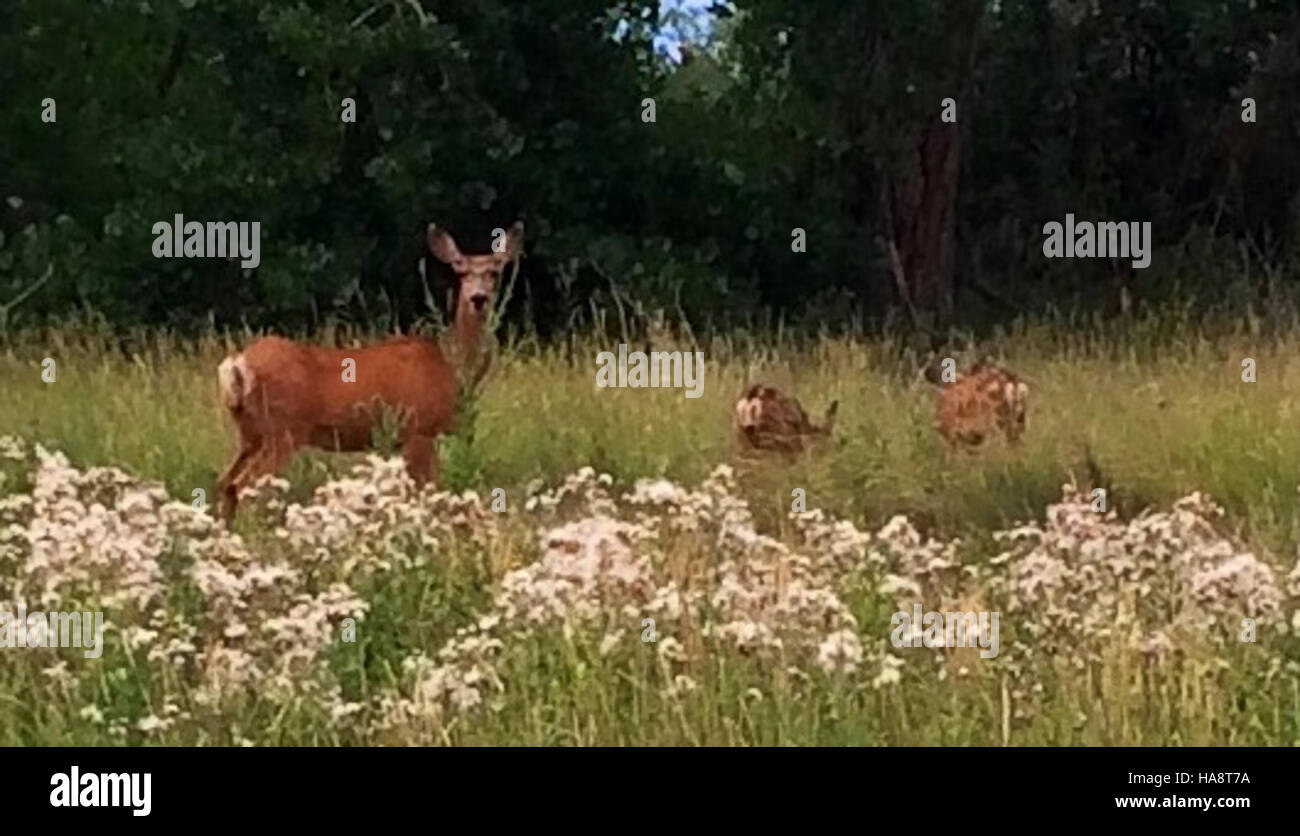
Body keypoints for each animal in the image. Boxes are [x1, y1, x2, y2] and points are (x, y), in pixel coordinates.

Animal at [215, 221, 523, 521]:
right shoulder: (418, 428)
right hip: (284, 429)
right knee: (243, 485)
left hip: (250, 432)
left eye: (495, 272)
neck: (451, 367)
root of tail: (238, 363)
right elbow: (429, 489)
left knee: (225, 482)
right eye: (461, 270)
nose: (478, 298)